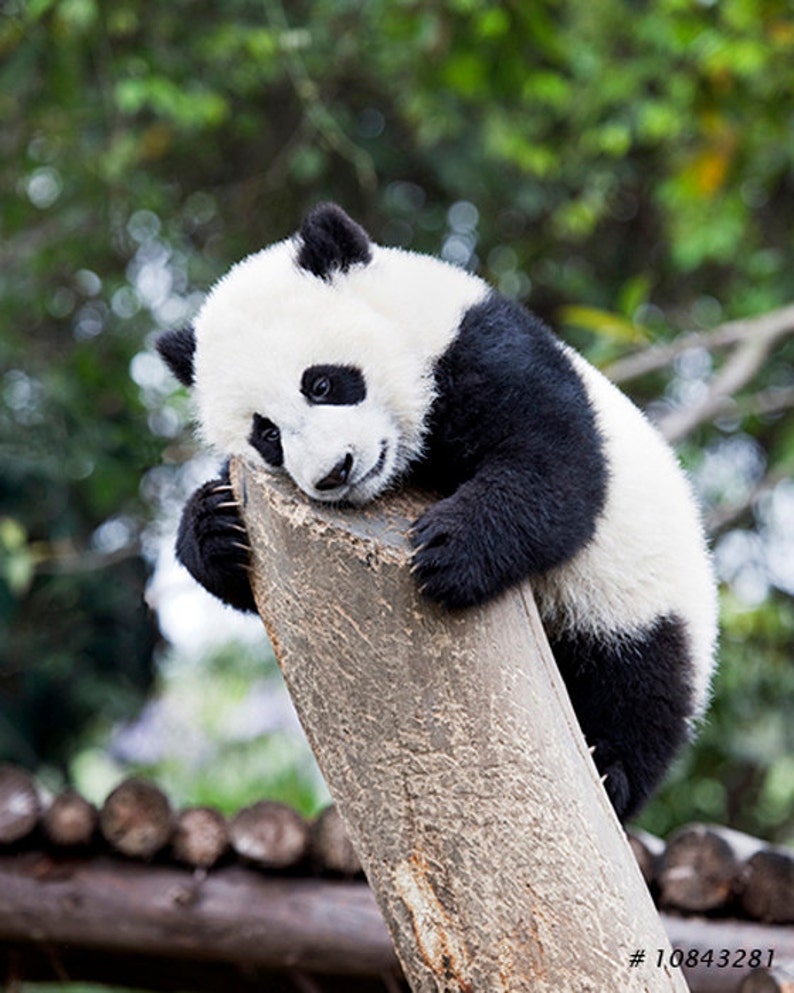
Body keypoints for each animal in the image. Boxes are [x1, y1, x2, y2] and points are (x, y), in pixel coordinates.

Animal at [157, 202, 718, 821]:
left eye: (322, 383)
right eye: (267, 434)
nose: (334, 473)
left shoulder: (482, 349)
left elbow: (556, 466)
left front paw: (452, 552)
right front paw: (215, 528)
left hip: (638, 596)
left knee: (640, 684)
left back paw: (610, 769)